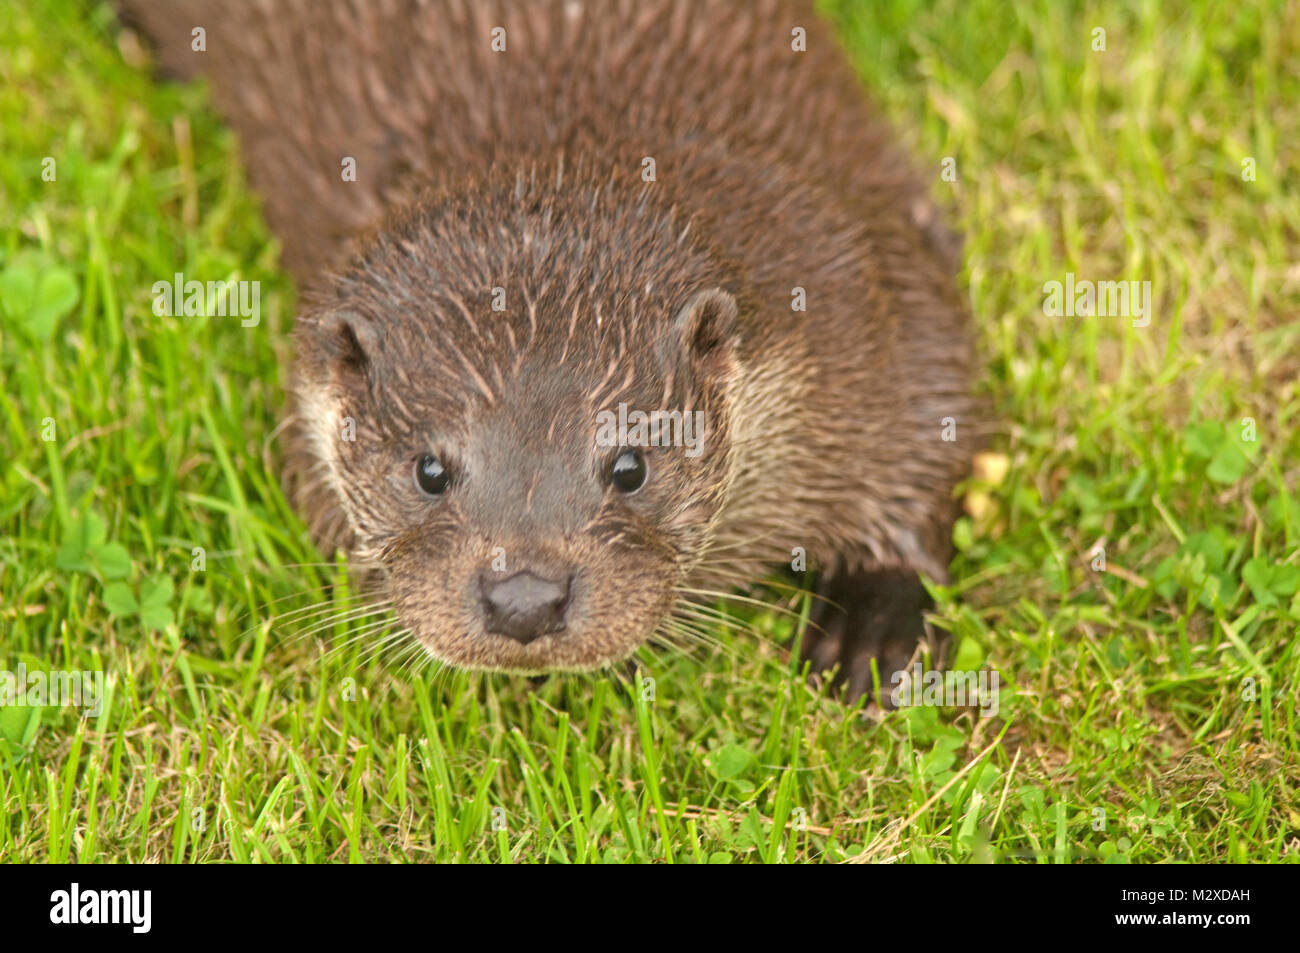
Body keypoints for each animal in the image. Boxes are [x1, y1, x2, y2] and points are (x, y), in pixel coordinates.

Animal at [120, 0, 982, 699]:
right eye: (428, 470)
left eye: (630, 465)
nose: (525, 599)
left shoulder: (860, 293)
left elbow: (931, 427)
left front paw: (875, 629)